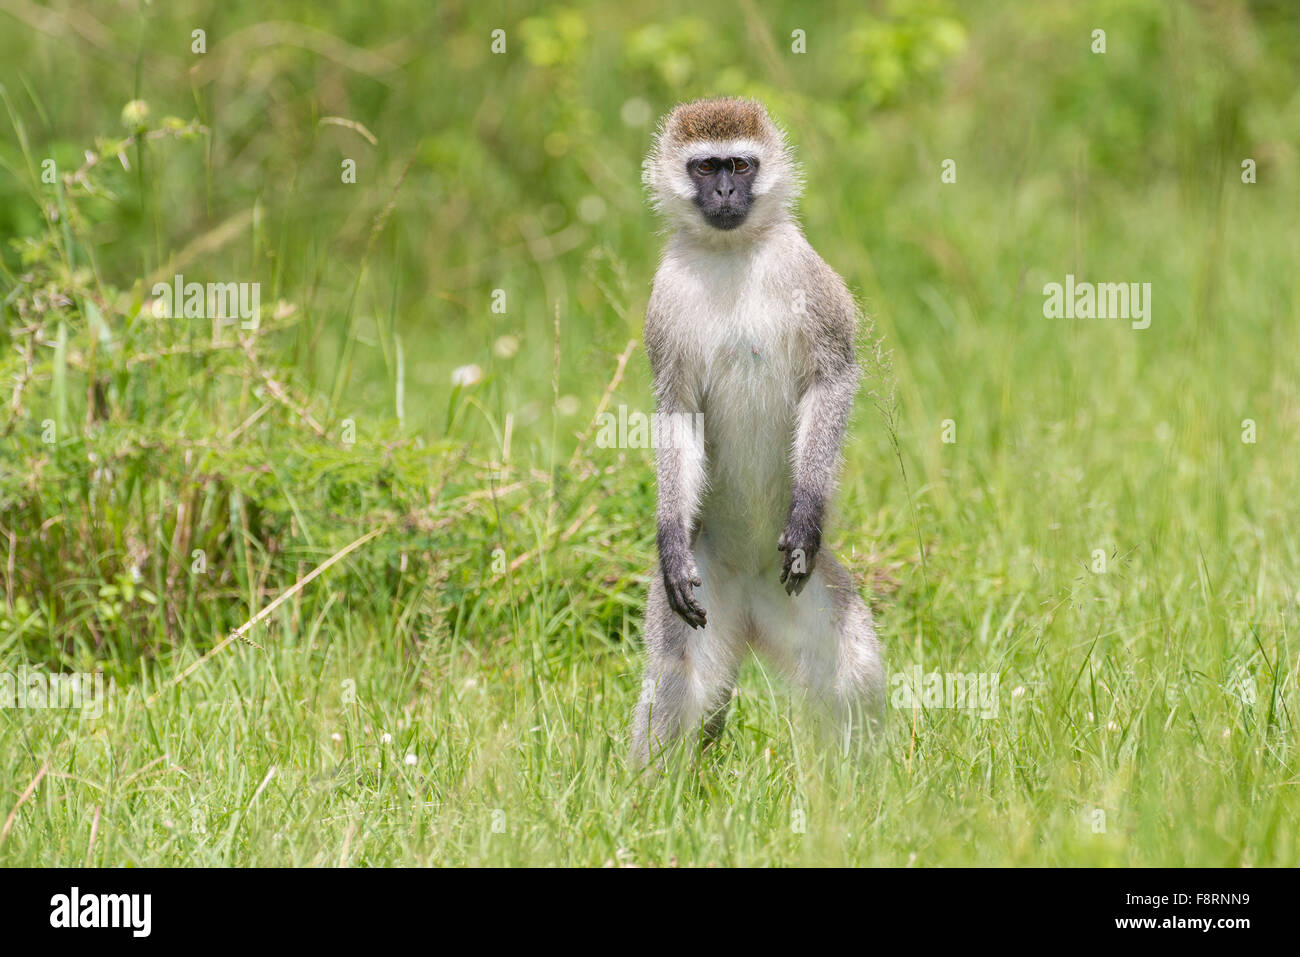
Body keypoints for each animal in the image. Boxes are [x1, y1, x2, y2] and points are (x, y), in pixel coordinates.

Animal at [630, 97, 885, 770]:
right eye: (705, 167)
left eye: (740, 165)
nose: (724, 191)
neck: (731, 251)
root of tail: (747, 602)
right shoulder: (663, 302)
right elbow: (677, 412)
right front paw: (668, 536)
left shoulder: (807, 274)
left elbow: (832, 377)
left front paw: (806, 513)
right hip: (705, 592)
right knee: (675, 679)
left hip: (803, 595)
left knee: (853, 667)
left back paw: (877, 781)